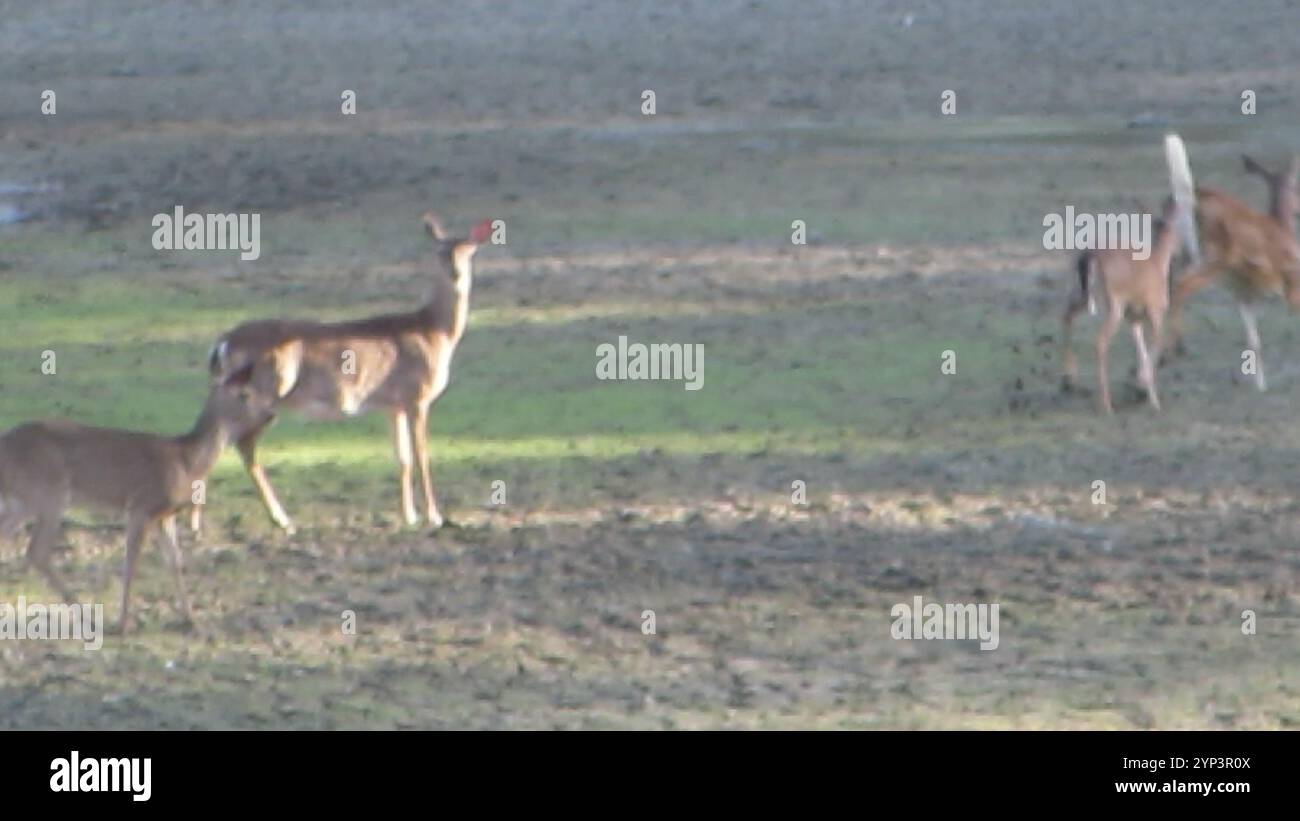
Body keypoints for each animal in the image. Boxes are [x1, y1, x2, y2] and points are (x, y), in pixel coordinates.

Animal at [0, 370, 270, 633]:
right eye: (244, 394)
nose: (269, 413)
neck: (187, 462)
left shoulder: (165, 515)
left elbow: (175, 562)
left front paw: (193, 620)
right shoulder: (141, 506)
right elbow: (131, 565)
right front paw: (123, 623)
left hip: (23, 500)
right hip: (48, 492)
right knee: (37, 551)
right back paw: (88, 615)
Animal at [195, 213, 494, 535]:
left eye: (470, 251)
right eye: (440, 251)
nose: (456, 273)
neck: (433, 332)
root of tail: (223, 343)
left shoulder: (393, 405)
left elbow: (403, 458)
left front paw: (409, 516)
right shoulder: (418, 396)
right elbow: (422, 456)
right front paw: (434, 517)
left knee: (216, 436)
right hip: (266, 390)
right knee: (235, 441)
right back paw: (277, 520)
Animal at [1061, 196, 1184, 414]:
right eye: (1177, 227)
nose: (1180, 250)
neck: (1158, 262)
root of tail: (1088, 257)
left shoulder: (1134, 318)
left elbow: (1142, 350)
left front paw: (1152, 399)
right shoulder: (1155, 310)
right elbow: (1158, 341)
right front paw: (1143, 384)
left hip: (1081, 294)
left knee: (1066, 315)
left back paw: (1069, 380)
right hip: (1113, 302)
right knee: (1099, 341)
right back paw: (1106, 404)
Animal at [1160, 134, 1300, 391]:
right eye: (1297, 187)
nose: (1298, 211)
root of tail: (1190, 197)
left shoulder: (1244, 293)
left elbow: (1253, 340)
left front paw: (1261, 387)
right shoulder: (1291, 284)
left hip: (1172, 251)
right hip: (1213, 257)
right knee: (1181, 286)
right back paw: (1170, 352)